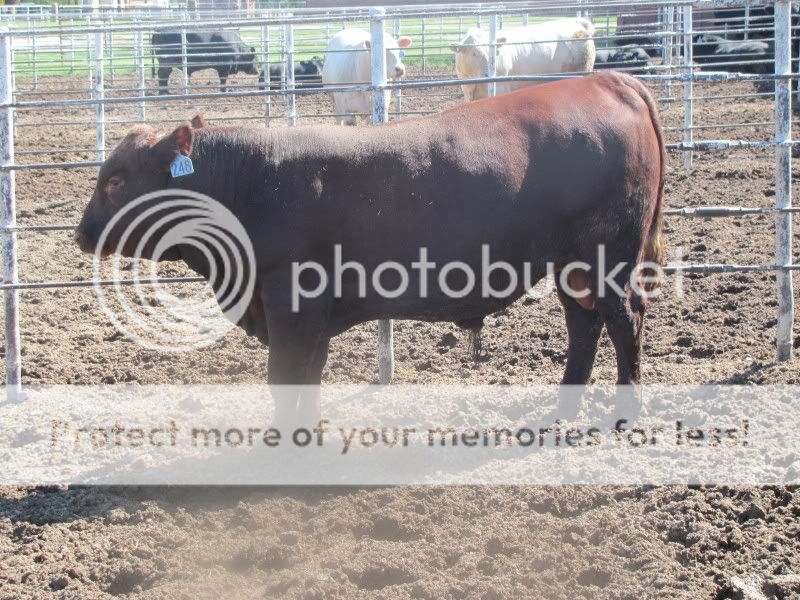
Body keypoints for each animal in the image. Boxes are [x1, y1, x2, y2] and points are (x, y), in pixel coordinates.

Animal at [76, 71, 665, 426]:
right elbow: (307, 375)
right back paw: (563, 409)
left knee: (624, 320)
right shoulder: (306, 313)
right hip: (571, 266)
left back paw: (626, 413)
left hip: (608, 258)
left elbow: (285, 374)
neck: (250, 179)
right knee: (583, 324)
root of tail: (606, 79)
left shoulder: (292, 302)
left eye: (116, 181)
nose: (81, 233)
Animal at [451, 18, 596, 102]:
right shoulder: (466, 90)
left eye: (495, 53)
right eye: (474, 53)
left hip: (581, 70)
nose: (488, 74)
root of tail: (577, 24)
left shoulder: (501, 88)